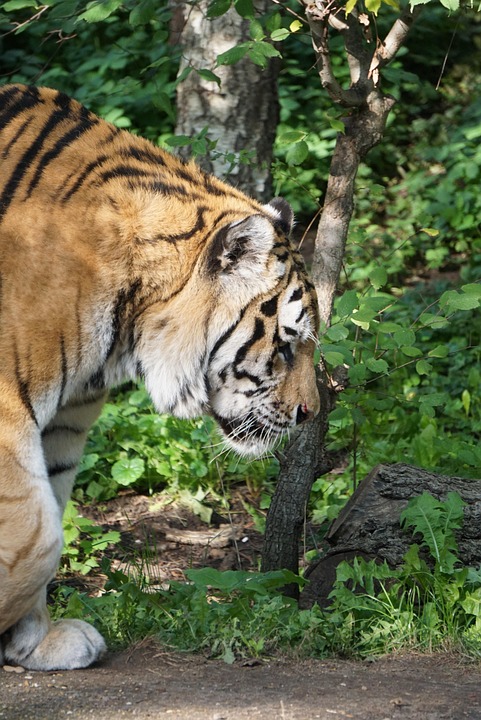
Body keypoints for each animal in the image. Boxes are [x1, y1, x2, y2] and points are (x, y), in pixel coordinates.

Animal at [0, 84, 320, 671]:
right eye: (286, 344)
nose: (309, 413)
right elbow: (38, 536)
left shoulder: (61, 424)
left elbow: (43, 517)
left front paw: (34, 643)